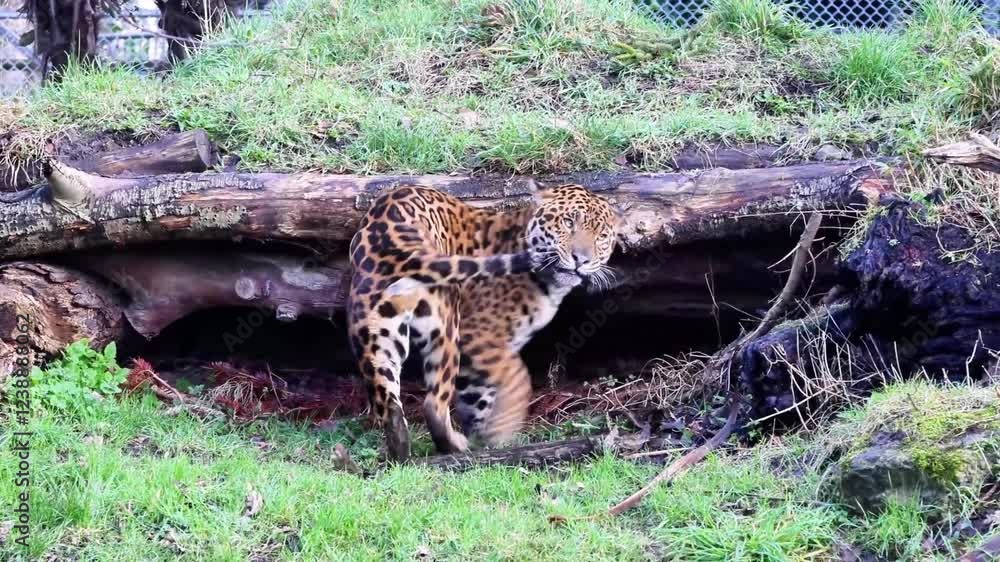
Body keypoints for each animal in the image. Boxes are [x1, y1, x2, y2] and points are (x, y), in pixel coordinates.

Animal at [346, 184, 620, 461]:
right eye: (568, 222)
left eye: (601, 236)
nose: (581, 259)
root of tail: (392, 232)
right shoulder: (480, 335)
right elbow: (517, 378)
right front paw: (503, 430)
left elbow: (478, 396)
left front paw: (483, 434)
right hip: (447, 328)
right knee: (434, 403)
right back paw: (454, 445)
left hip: (377, 330)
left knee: (388, 402)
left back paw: (400, 450)